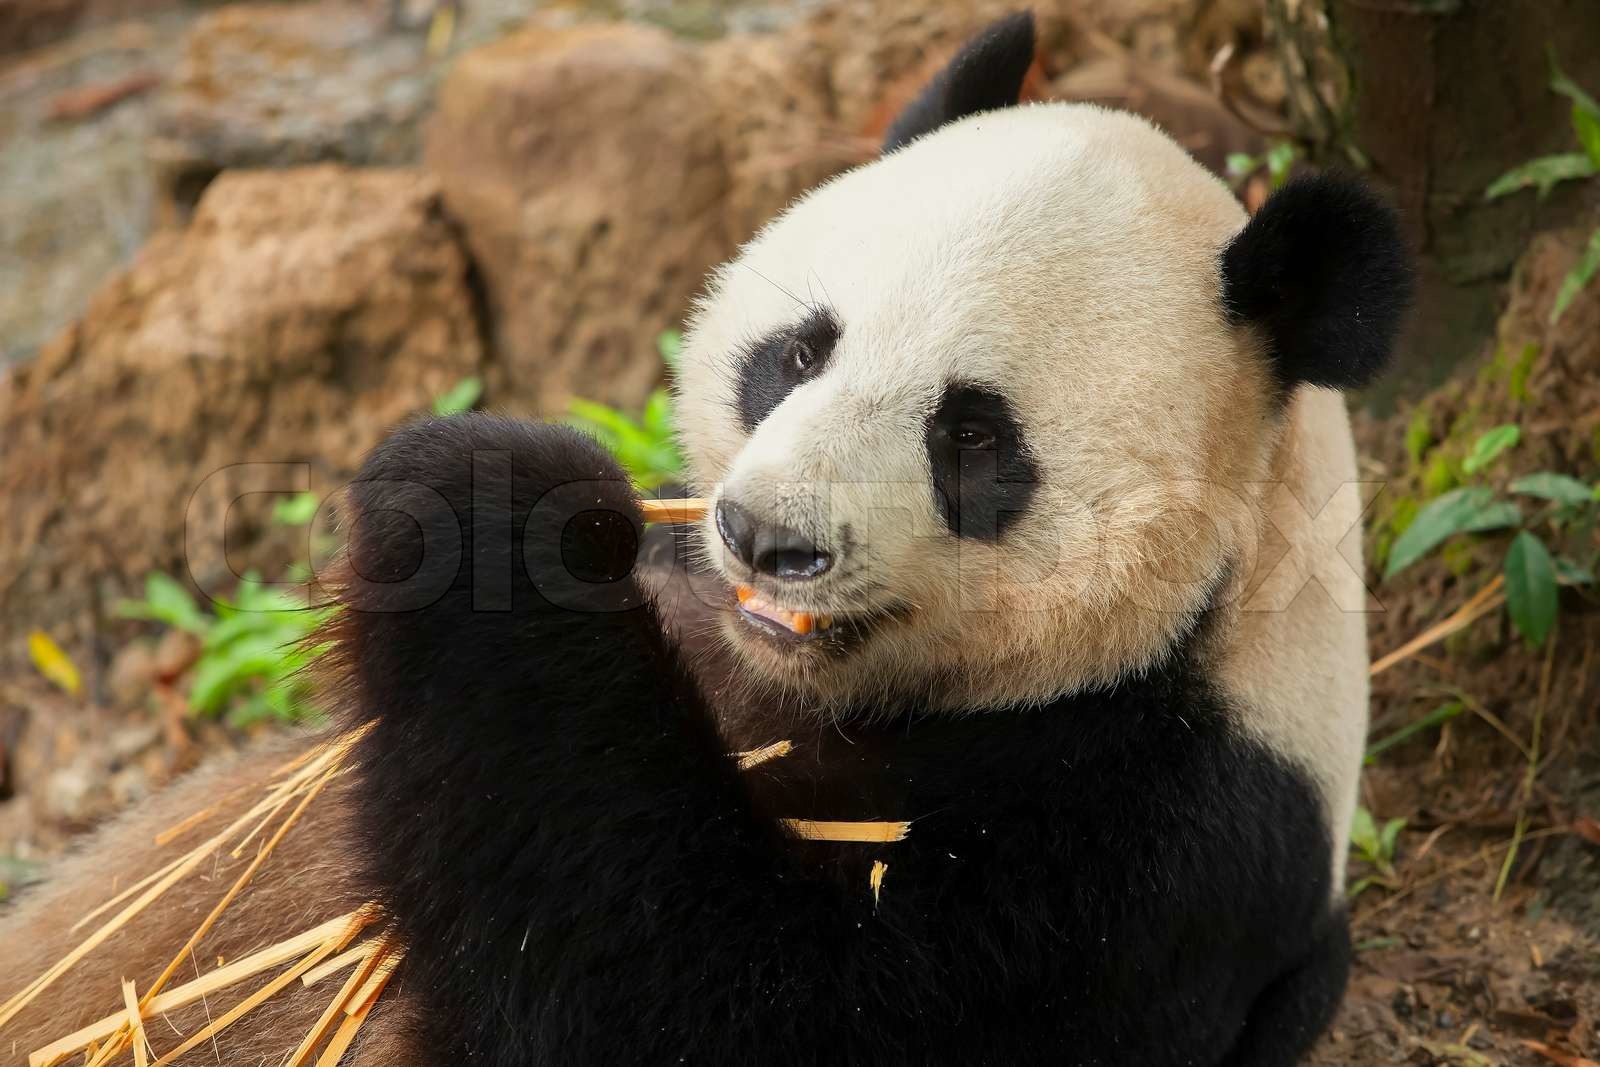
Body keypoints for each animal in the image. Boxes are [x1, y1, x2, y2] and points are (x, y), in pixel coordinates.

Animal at [0, 12, 1410, 1066]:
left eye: (971, 436)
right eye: (797, 352)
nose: (757, 533)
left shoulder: (1150, 853)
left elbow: (698, 999)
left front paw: (487, 504)